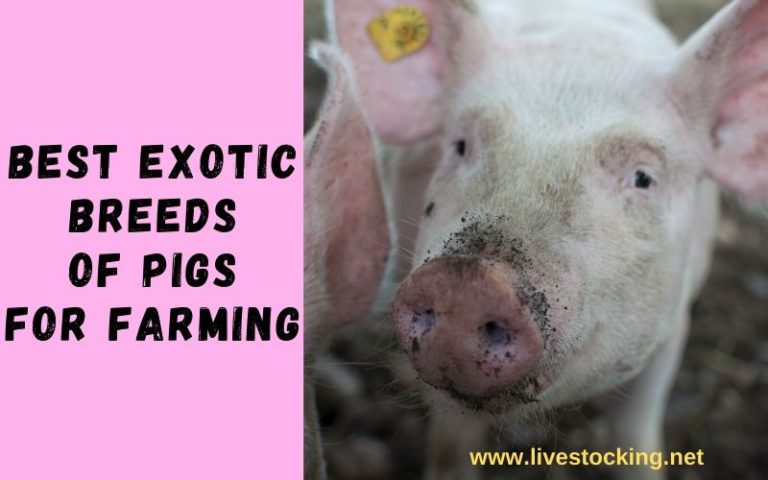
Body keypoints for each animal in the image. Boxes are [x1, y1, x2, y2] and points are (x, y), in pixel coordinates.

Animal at [327, 0, 768, 478]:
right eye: (460, 145)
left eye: (643, 177)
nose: (468, 280)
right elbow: (450, 443)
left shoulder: (672, 328)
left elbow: (636, 435)